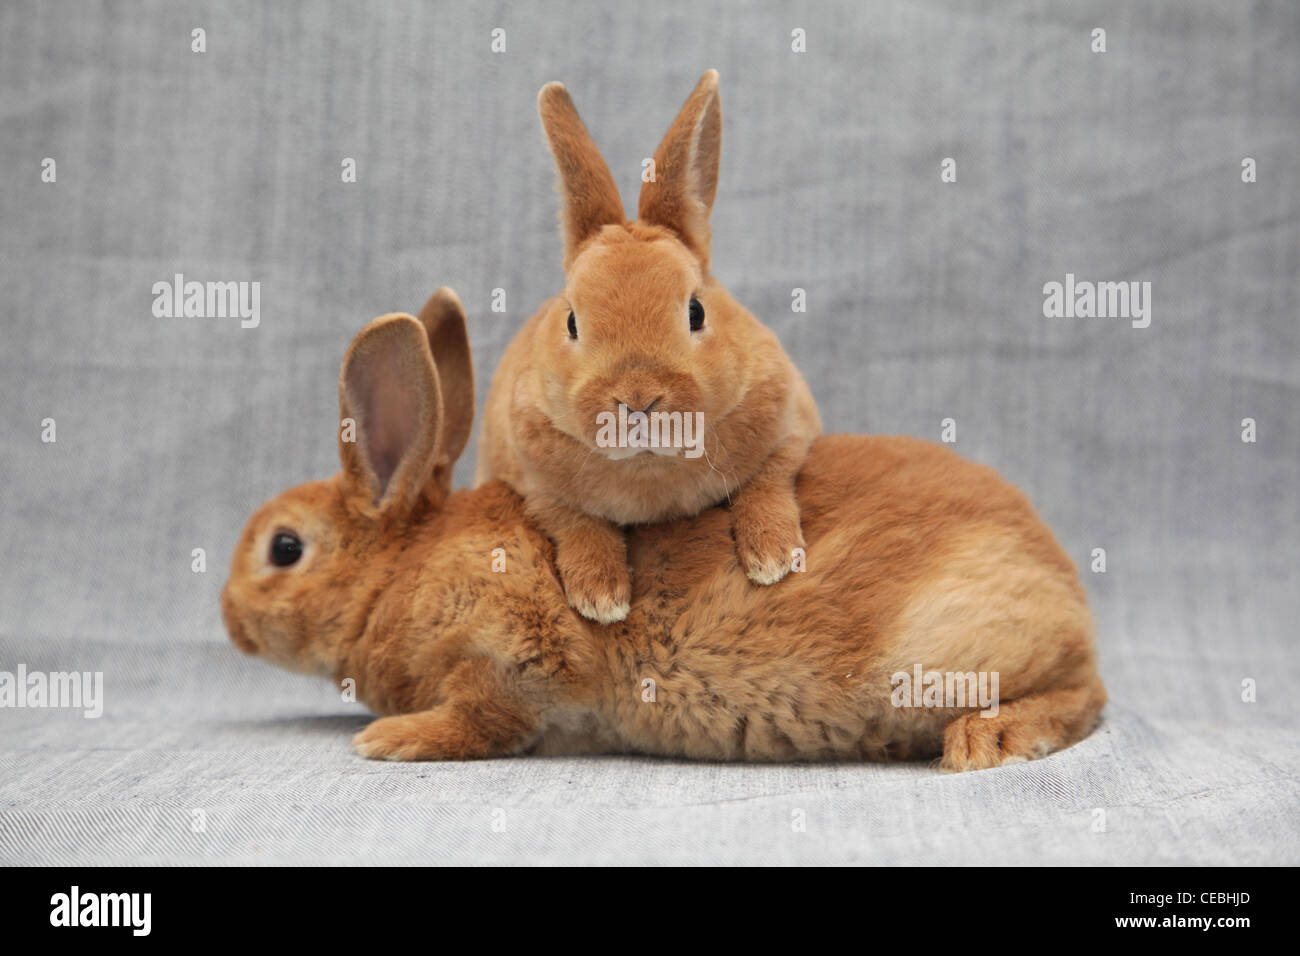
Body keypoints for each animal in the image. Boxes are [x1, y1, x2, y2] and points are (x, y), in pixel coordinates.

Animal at [221, 294, 1107, 771]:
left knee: (1084, 697)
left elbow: (484, 719)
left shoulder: (511, 660)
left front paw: (391, 740)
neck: (401, 571)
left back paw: (986, 741)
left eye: (285, 548)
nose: (228, 620)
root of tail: (1063, 588)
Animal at [476, 70, 822, 625]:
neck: (650, 465)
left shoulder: (791, 431)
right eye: (571, 321)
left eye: (696, 311)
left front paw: (772, 559)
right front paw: (601, 598)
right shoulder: (535, 487)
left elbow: (768, 483)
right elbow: (577, 524)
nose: (638, 400)